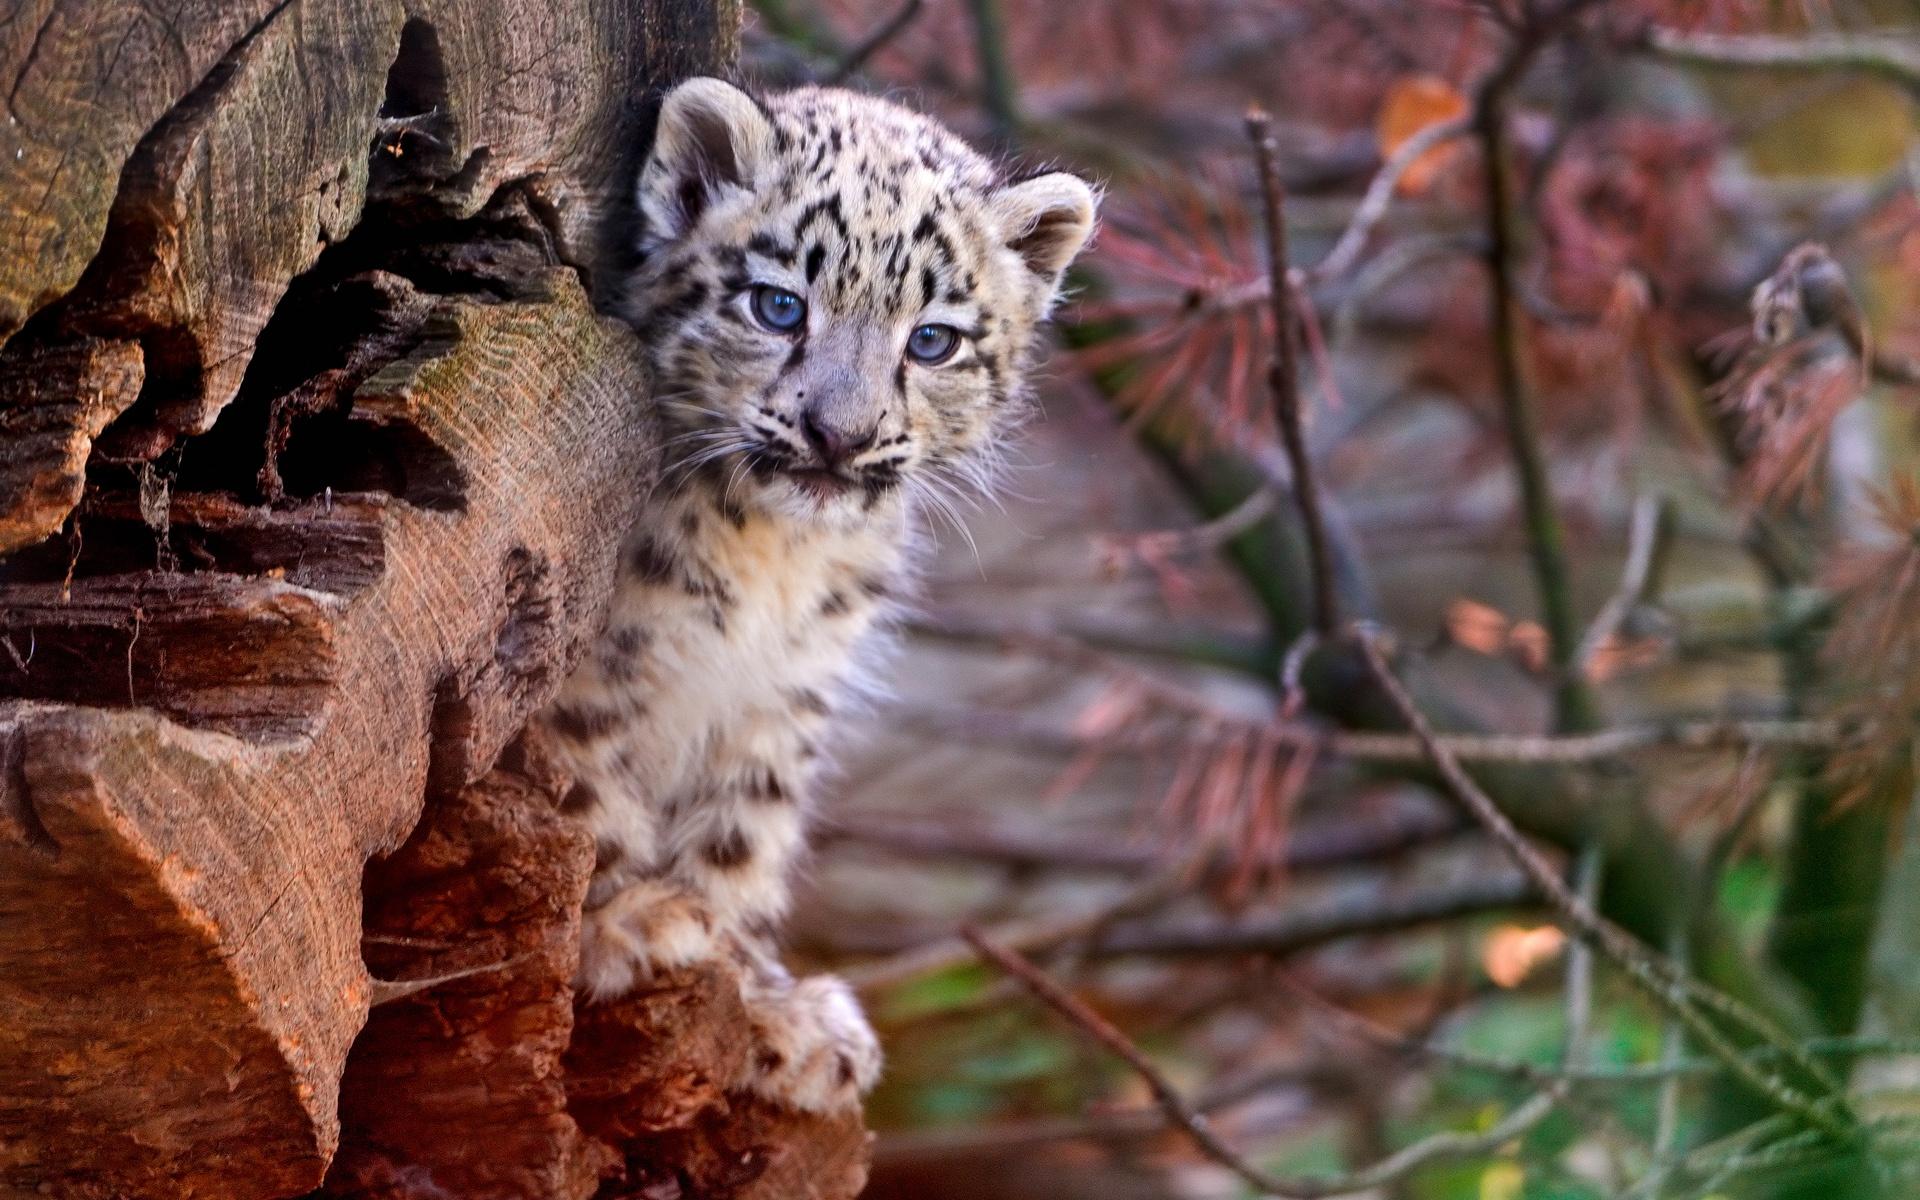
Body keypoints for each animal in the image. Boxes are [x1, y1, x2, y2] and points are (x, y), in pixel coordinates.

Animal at [539, 76, 1097, 1114]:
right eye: (777, 305)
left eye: (932, 340)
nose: (842, 434)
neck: (772, 555)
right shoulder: (582, 670)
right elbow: (584, 790)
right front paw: (633, 918)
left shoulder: (787, 689)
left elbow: (744, 833)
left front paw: (768, 1006)